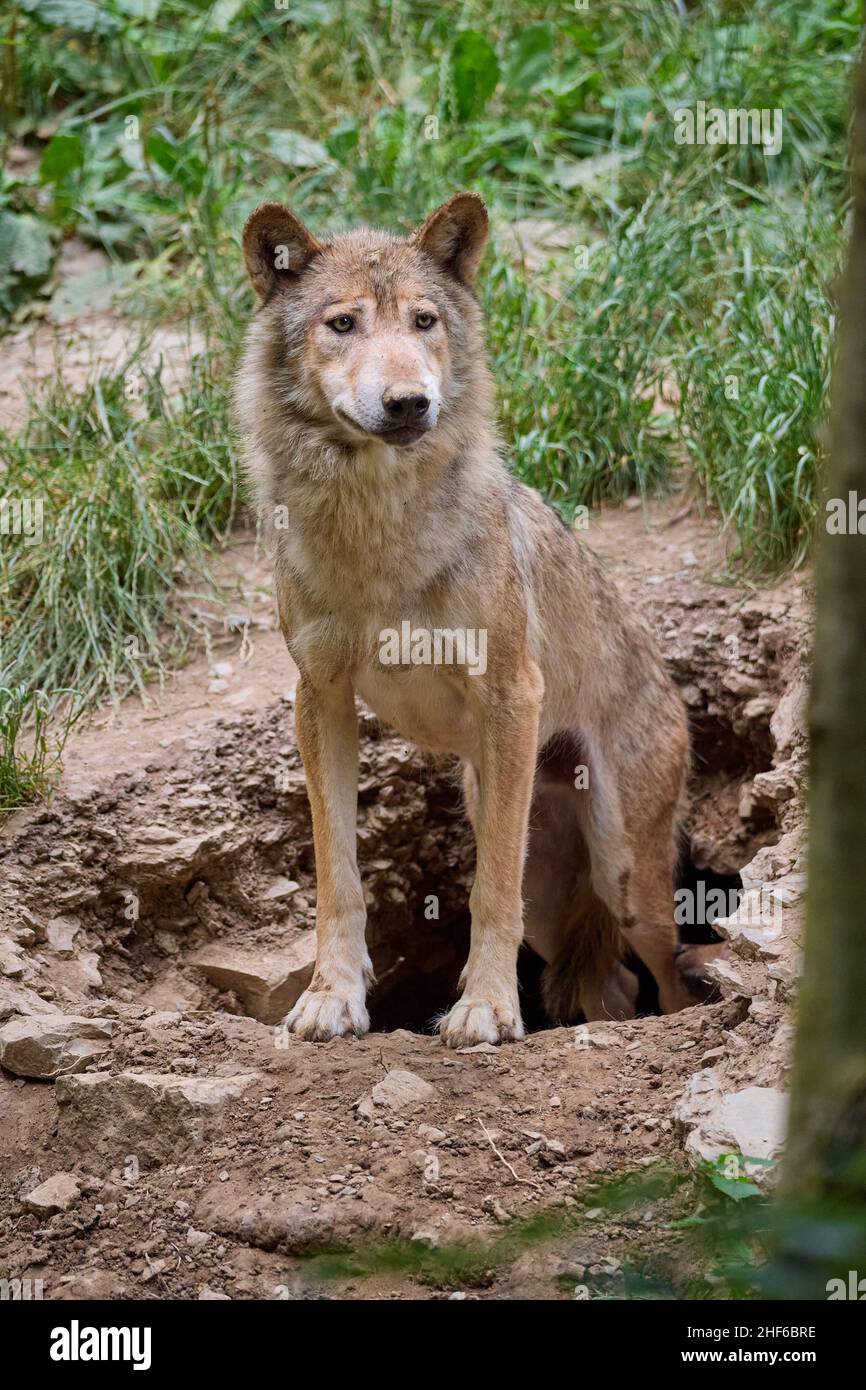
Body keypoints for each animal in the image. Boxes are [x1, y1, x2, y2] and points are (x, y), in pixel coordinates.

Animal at [234, 192, 697, 1047]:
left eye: (423, 321)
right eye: (342, 324)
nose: (410, 402)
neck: (377, 533)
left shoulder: (511, 691)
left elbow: (488, 893)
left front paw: (483, 1010)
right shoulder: (320, 698)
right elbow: (337, 876)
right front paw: (332, 998)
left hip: (624, 875)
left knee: (668, 972)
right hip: (528, 856)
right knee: (609, 982)